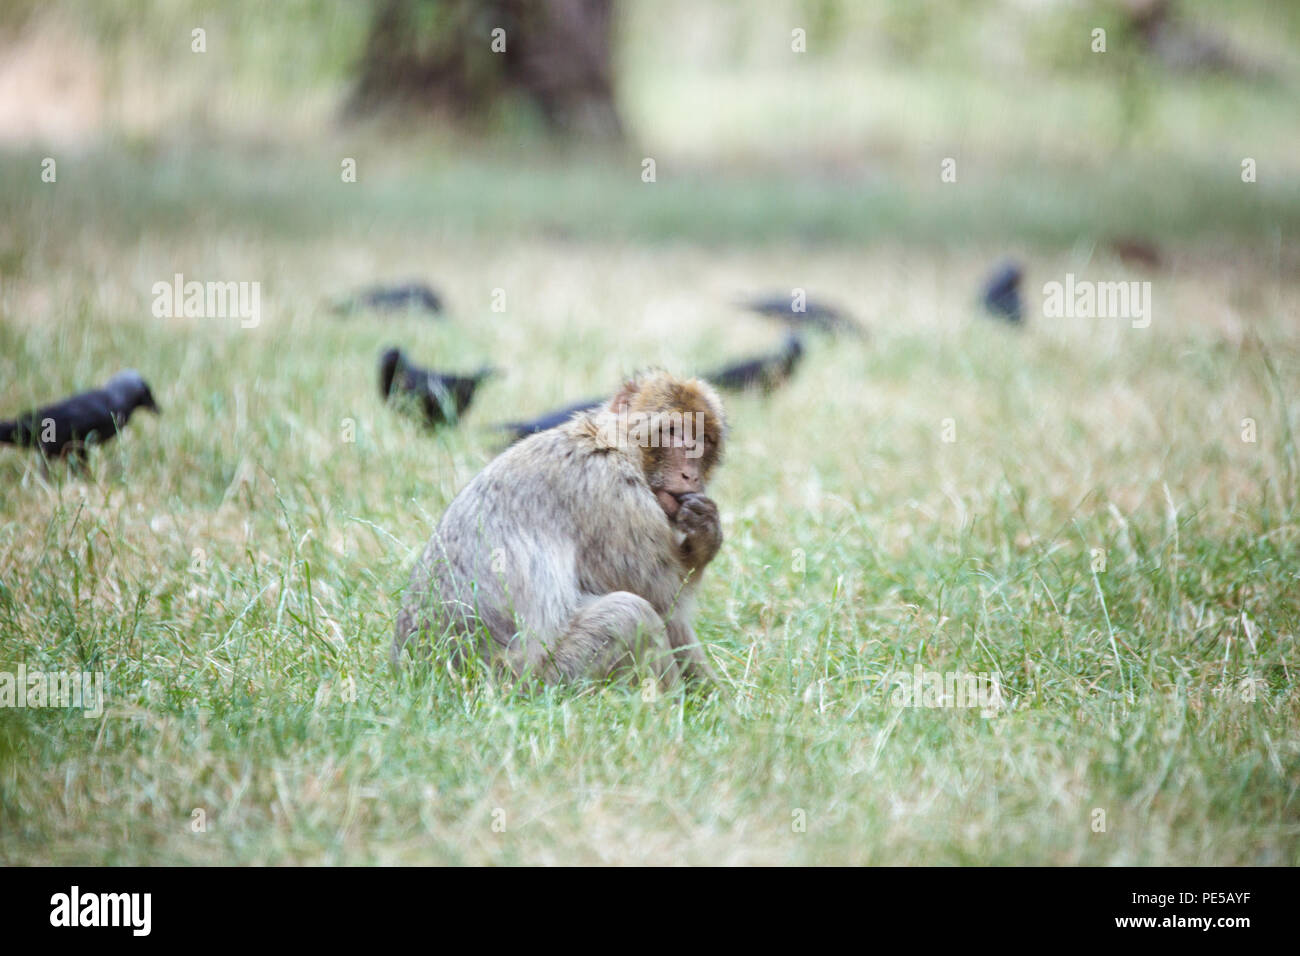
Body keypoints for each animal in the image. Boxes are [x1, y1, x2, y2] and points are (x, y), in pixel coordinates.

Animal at [393, 369, 728, 690]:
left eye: (704, 439)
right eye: (672, 432)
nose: (691, 475)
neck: (611, 441)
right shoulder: (610, 491)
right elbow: (667, 599)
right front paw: (705, 540)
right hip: (541, 679)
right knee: (628, 614)